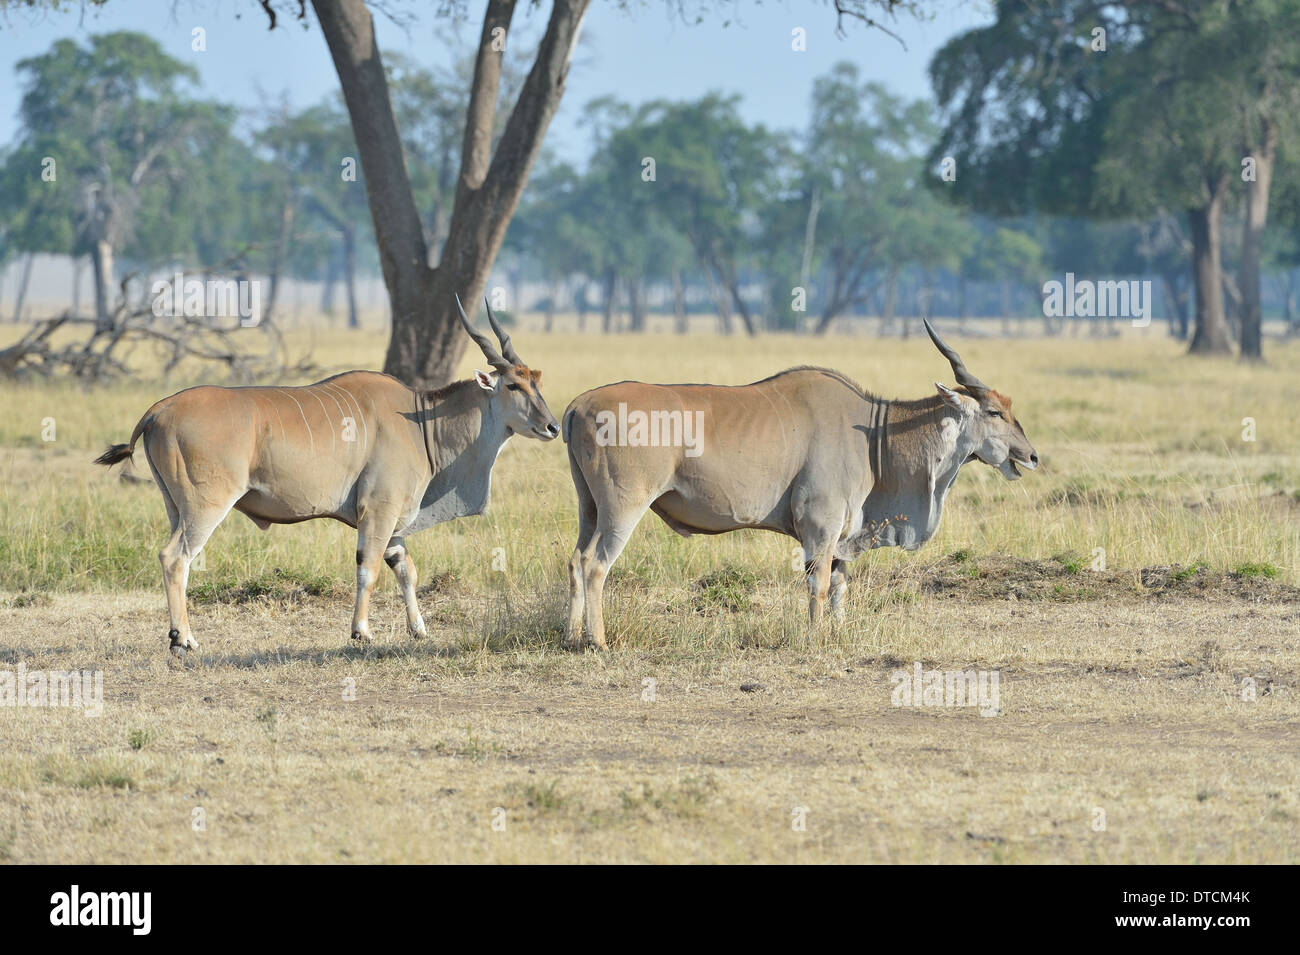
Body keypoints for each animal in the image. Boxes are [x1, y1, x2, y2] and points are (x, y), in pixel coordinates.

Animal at [94, 298, 559, 657]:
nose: (553, 427)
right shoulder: (379, 513)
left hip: (175, 507)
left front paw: (419, 630)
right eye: (514, 386)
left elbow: (405, 569)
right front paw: (362, 632)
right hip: (204, 507)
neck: (420, 420)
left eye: (538, 380)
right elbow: (368, 568)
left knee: (176, 557)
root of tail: (158, 410)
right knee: (176, 557)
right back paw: (183, 639)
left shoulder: (393, 524)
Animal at [562, 319, 1038, 649]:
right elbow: (820, 585)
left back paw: (570, 637)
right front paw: (815, 639)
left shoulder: (842, 535)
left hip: (590, 509)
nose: (1030, 456)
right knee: (596, 565)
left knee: (575, 560)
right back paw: (597, 642)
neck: (873, 434)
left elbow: (841, 585)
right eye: (995, 412)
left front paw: (839, 635)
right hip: (623, 508)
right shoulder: (819, 526)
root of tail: (578, 405)